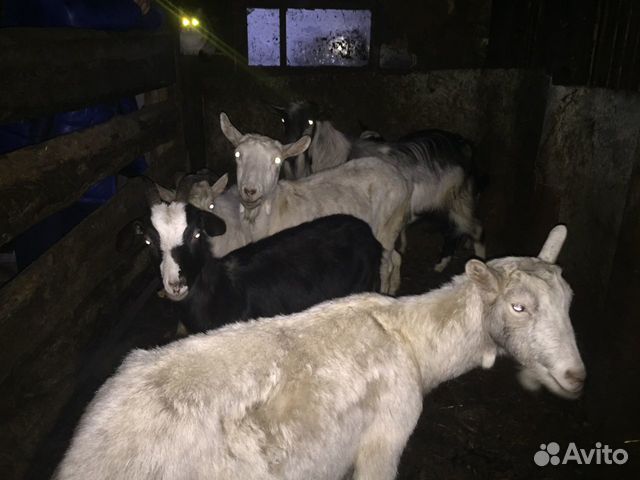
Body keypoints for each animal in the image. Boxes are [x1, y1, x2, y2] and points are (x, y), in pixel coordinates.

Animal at [219, 112, 411, 295]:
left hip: (387, 225)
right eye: (238, 154)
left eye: (277, 161)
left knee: (386, 265)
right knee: (396, 257)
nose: (250, 190)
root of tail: (399, 176)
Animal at [273, 100, 485, 272]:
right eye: (283, 121)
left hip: (456, 198)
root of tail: (462, 144)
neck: (336, 155)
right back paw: (443, 263)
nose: (291, 159)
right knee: (454, 229)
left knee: (474, 229)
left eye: (310, 122)